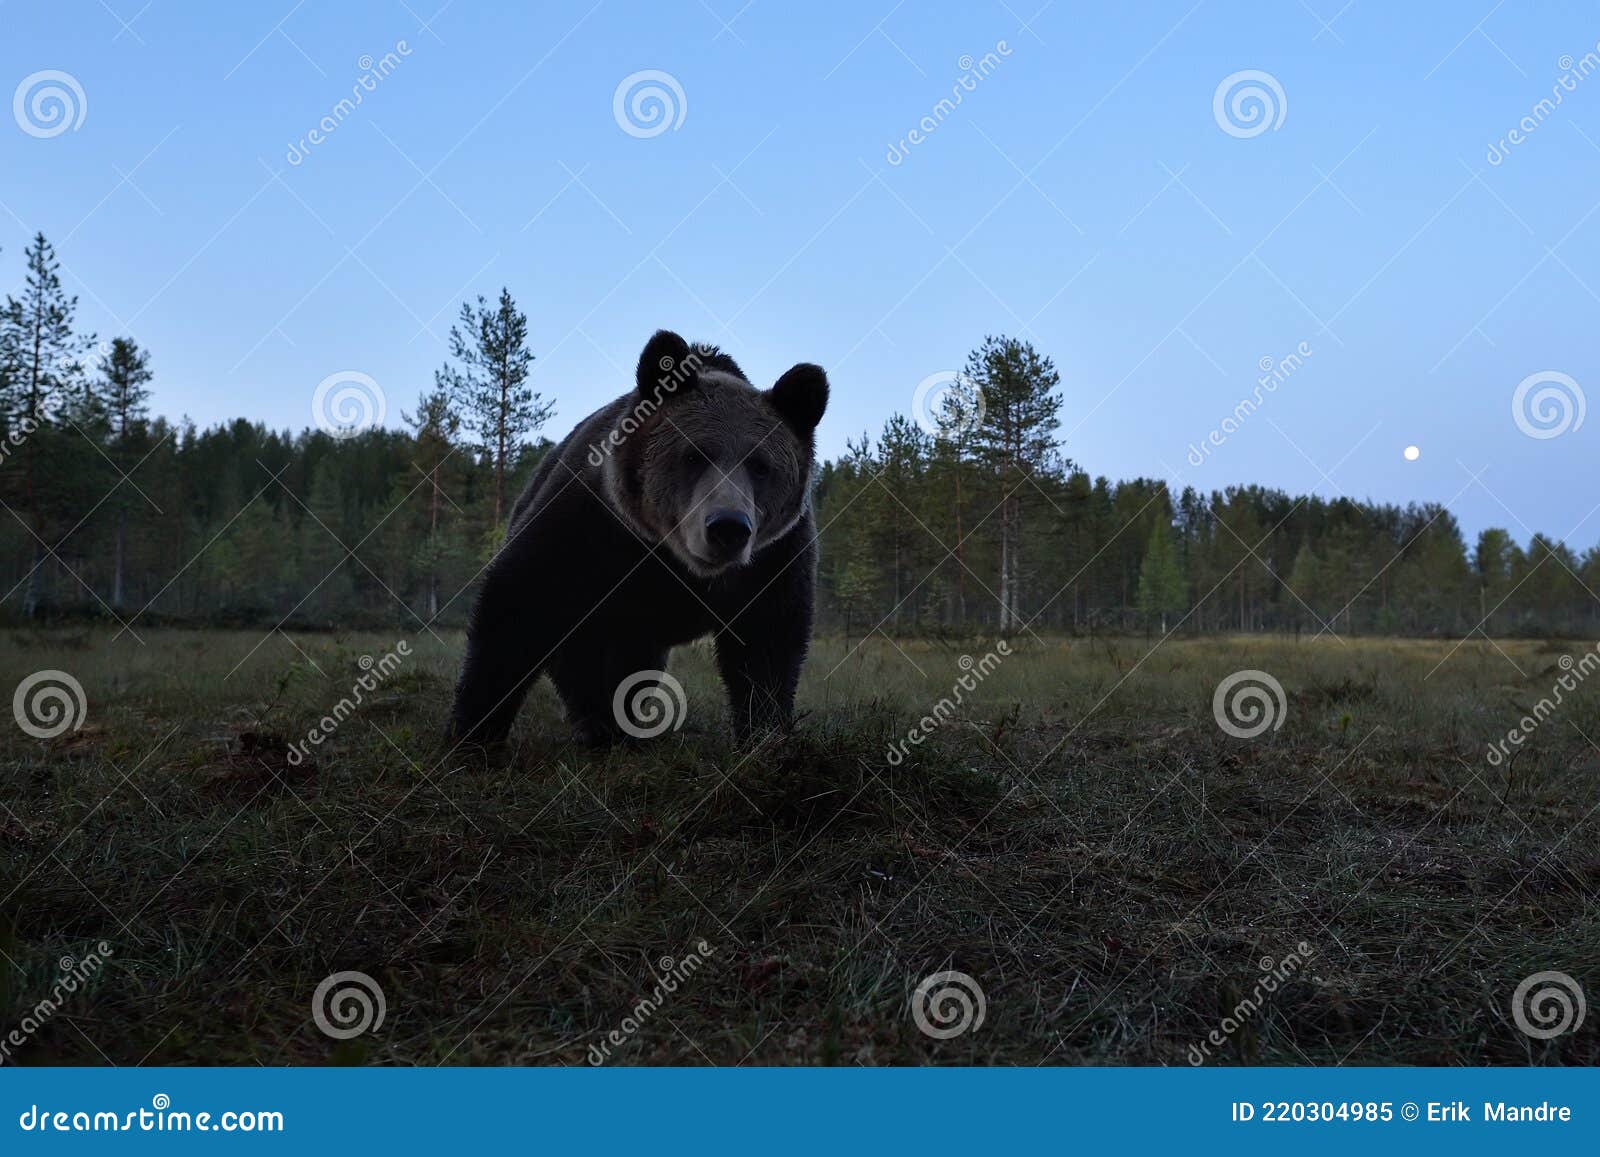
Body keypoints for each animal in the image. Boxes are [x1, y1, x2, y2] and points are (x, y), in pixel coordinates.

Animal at [448, 329, 829, 747]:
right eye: (695, 455)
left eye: (760, 465)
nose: (727, 527)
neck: (672, 560)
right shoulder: (591, 526)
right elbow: (520, 606)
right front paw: (473, 734)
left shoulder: (772, 557)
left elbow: (767, 642)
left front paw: (766, 733)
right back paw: (600, 725)